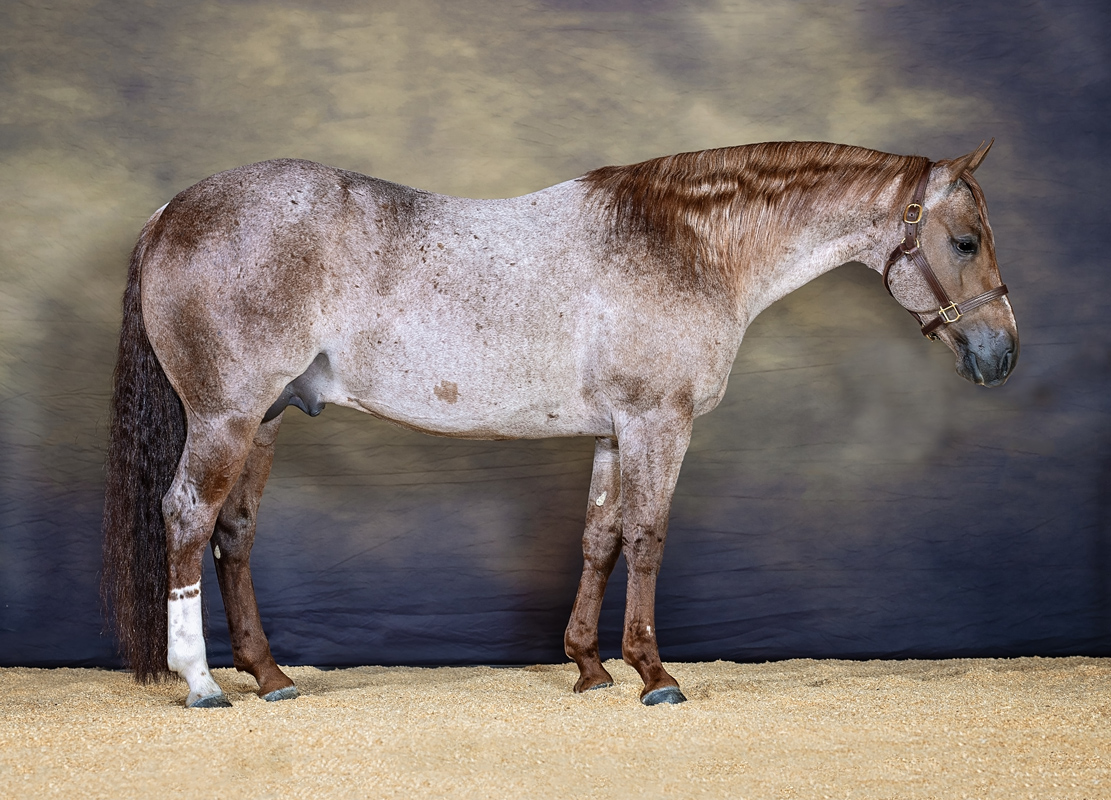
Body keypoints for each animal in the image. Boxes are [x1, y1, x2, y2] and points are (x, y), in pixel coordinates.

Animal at [102, 140, 1018, 708]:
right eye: (965, 242)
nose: (1001, 354)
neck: (685, 246)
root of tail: (170, 210)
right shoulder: (657, 423)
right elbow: (646, 536)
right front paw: (652, 673)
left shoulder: (614, 432)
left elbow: (599, 537)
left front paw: (586, 667)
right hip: (224, 417)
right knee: (188, 517)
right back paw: (202, 683)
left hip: (263, 420)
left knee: (234, 532)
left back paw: (270, 675)